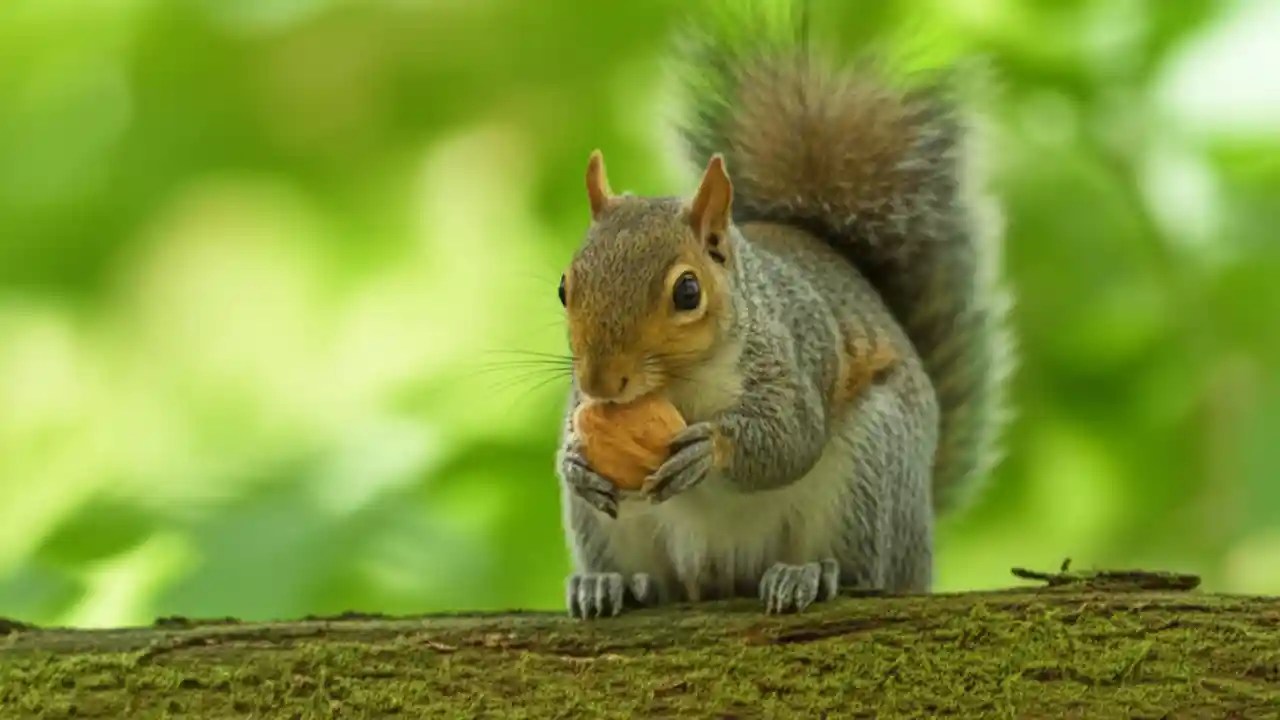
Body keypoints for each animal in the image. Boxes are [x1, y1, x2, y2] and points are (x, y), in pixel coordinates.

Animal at [555, 2, 1011, 618]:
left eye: (688, 292)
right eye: (564, 287)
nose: (602, 382)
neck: (679, 385)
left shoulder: (790, 353)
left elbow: (793, 435)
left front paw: (709, 446)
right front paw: (575, 462)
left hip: (871, 472)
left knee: (861, 569)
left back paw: (809, 576)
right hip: (610, 529)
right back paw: (612, 585)